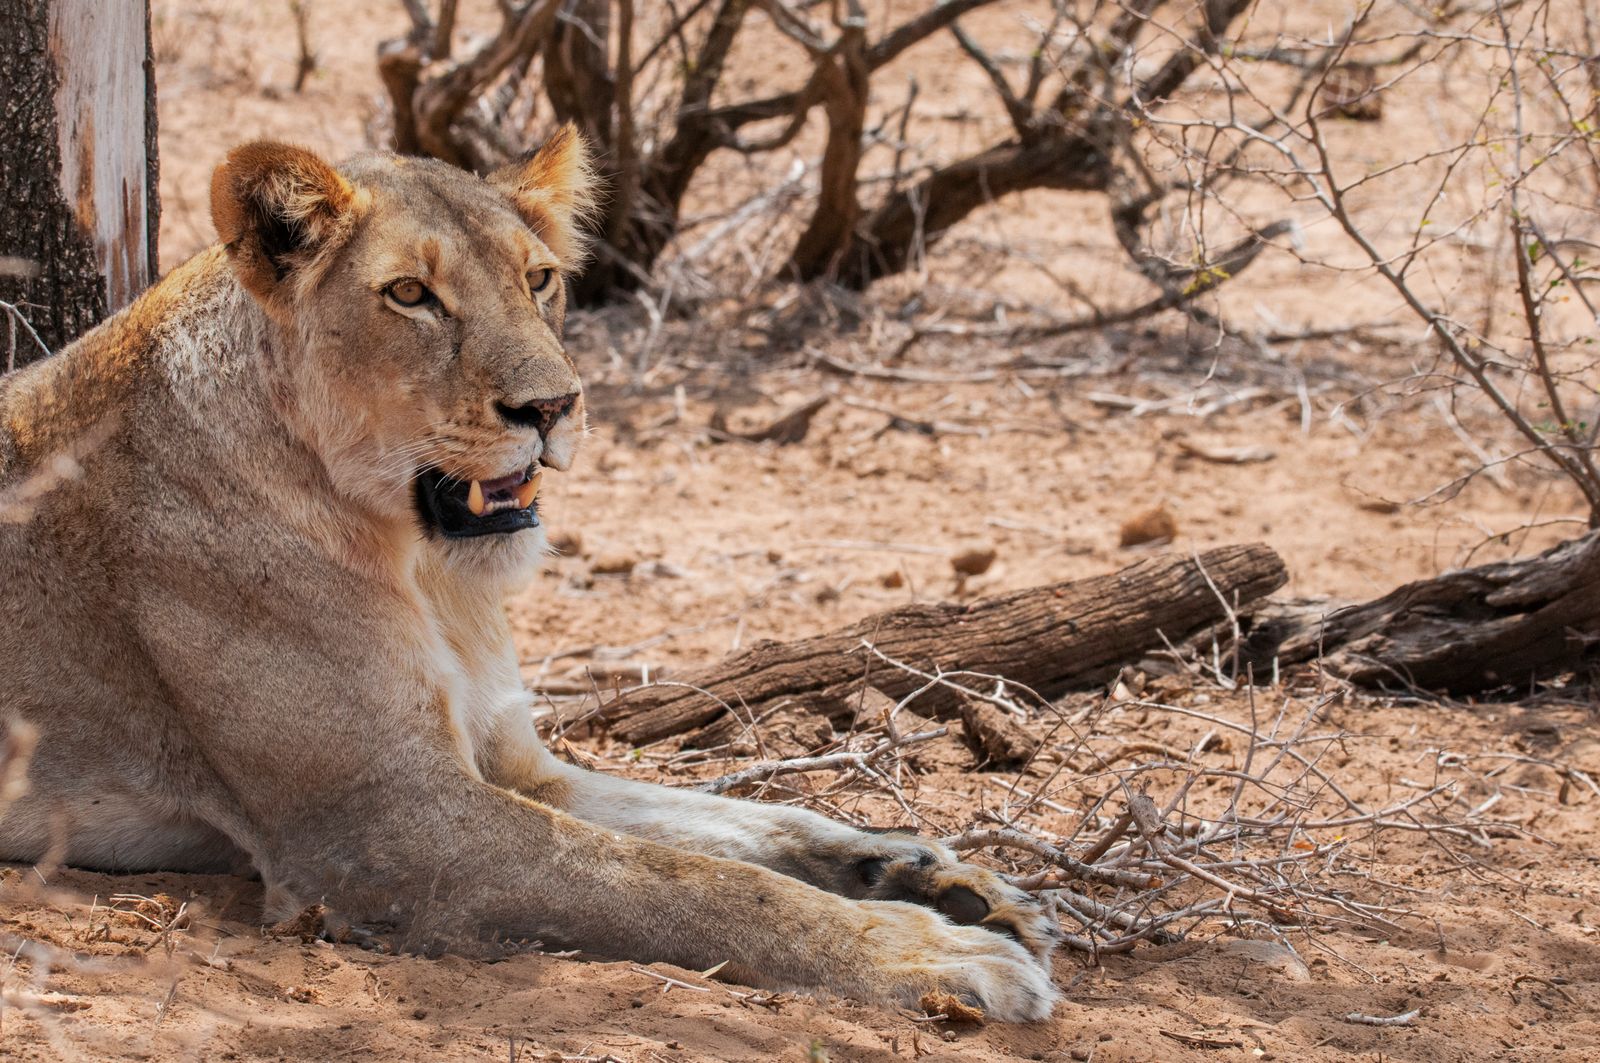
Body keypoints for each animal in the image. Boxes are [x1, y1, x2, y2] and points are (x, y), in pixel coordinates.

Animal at [0, 127, 1060, 1020]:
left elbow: (735, 825)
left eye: (540, 278)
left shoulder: (514, 762)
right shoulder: (385, 823)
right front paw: (935, 951)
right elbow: (703, 886)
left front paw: (934, 876)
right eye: (410, 296)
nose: (553, 406)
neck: (427, 570)